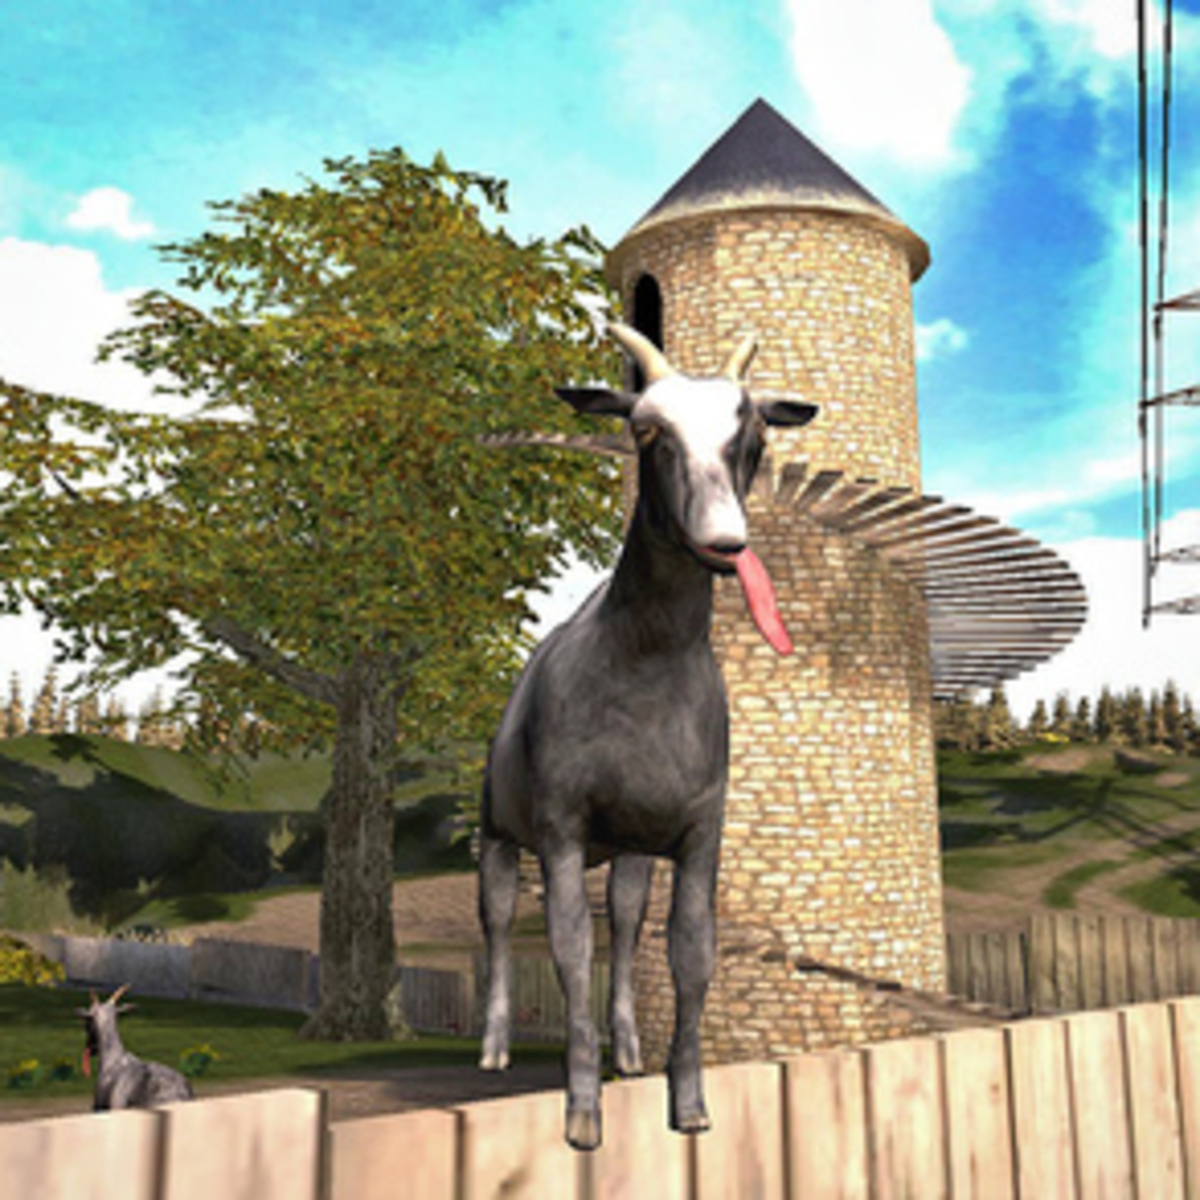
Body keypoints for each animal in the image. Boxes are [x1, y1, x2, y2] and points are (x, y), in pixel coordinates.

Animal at [478, 322, 818, 1149]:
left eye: (753, 434)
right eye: (646, 431)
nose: (725, 542)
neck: (644, 664)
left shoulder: (700, 833)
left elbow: (690, 952)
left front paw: (689, 1104)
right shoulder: (561, 831)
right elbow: (570, 950)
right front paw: (581, 1115)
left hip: (631, 848)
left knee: (629, 924)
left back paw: (629, 1050)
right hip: (497, 828)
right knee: (498, 922)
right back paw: (495, 1048)